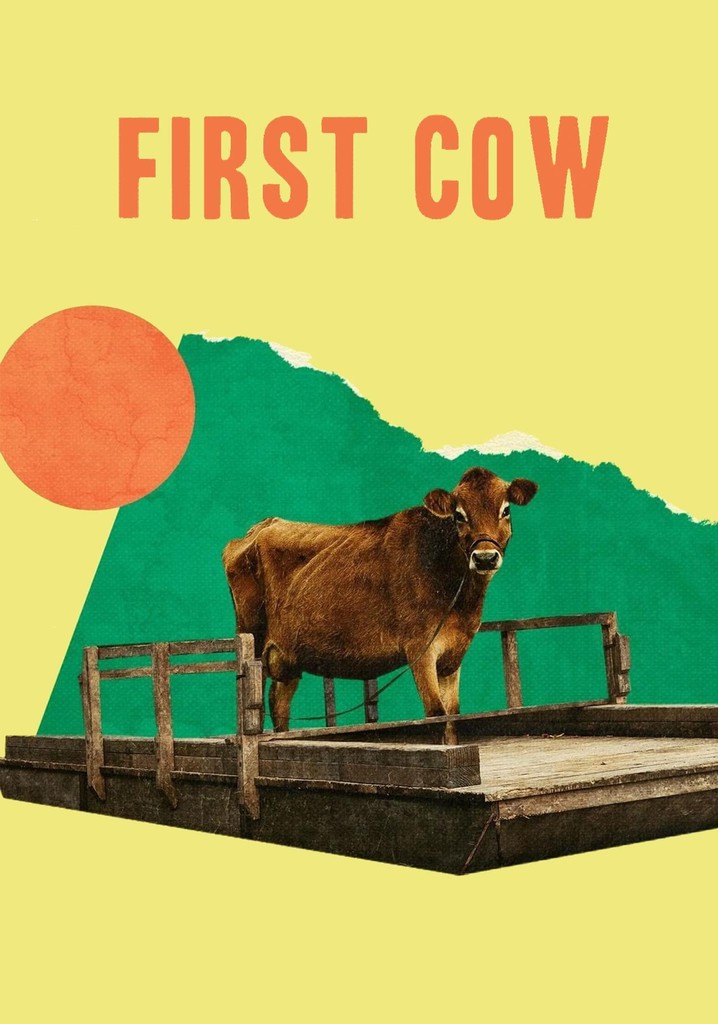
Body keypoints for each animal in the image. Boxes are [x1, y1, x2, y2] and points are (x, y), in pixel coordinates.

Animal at [222, 466, 537, 736]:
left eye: (505, 510)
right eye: (459, 515)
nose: (485, 557)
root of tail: (262, 526)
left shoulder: (454, 655)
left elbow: (453, 717)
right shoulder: (420, 647)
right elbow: (436, 714)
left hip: (288, 654)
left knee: (279, 700)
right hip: (252, 635)